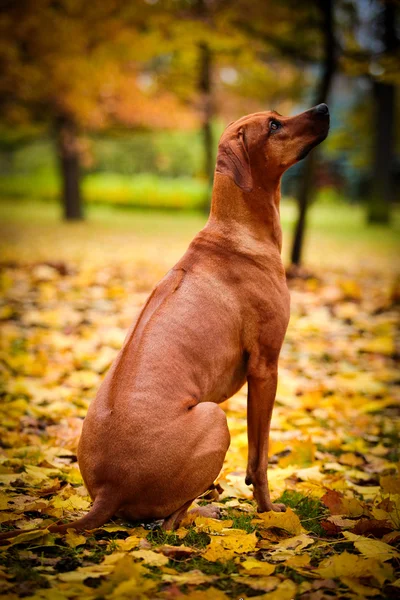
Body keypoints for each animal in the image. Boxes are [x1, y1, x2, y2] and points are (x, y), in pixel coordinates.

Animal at [0, 103, 330, 540]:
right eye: (274, 125)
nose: (324, 108)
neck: (236, 231)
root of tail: (108, 490)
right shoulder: (265, 367)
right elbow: (259, 459)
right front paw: (269, 512)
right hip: (213, 417)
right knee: (170, 523)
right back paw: (206, 513)